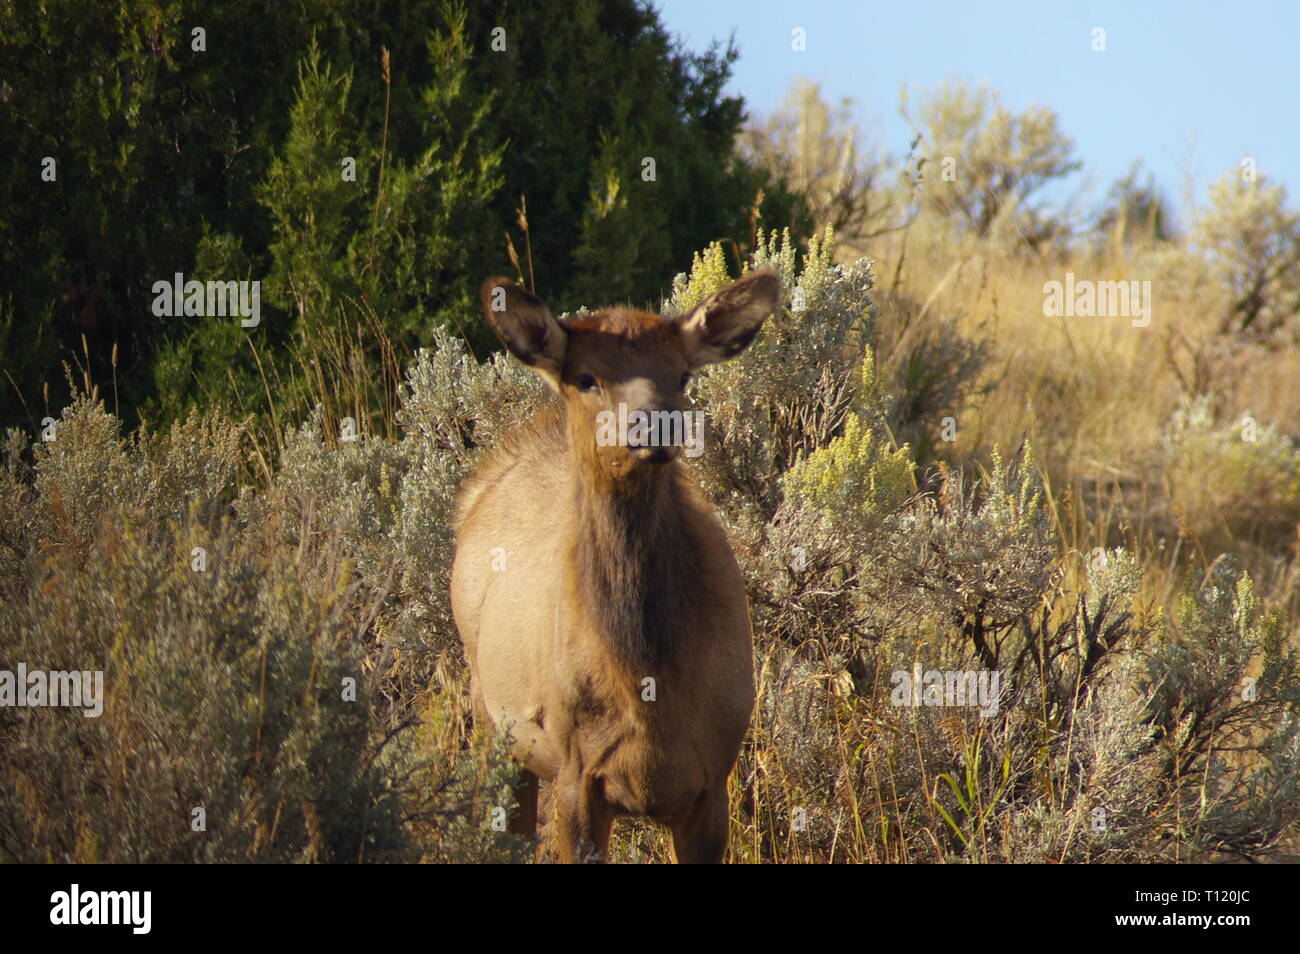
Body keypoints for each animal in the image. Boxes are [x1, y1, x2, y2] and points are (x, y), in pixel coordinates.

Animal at [449, 270, 781, 863]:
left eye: (681, 373)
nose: (655, 426)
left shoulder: (714, 775)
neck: (644, 680)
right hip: (491, 718)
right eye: (586, 377)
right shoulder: (576, 771)